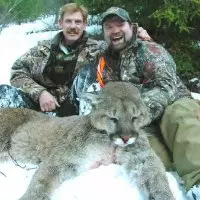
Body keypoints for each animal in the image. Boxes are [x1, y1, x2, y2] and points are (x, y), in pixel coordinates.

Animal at [0, 81, 174, 200]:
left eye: (135, 117)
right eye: (113, 118)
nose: (125, 138)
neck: (110, 144)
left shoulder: (141, 157)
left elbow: (157, 178)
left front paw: (163, 195)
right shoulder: (63, 158)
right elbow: (42, 181)